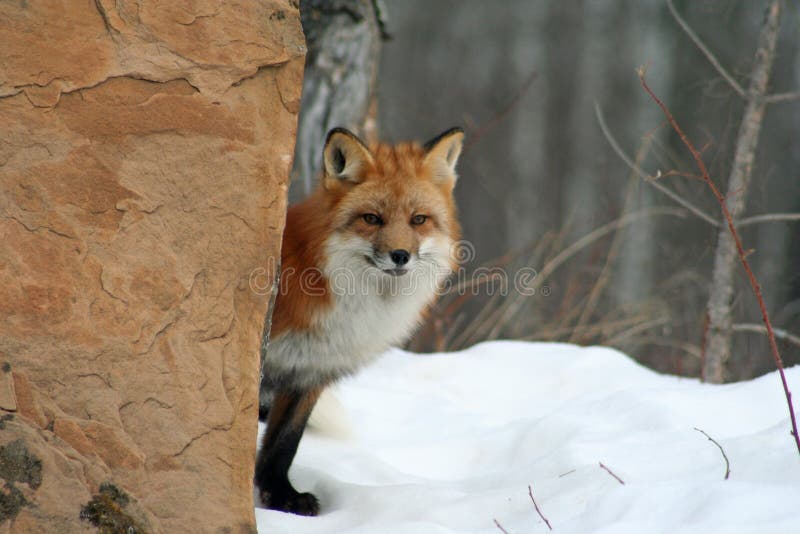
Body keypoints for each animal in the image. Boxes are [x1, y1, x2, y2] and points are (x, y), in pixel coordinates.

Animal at [255, 126, 465, 516]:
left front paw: (280, 496)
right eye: (372, 218)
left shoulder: (309, 373)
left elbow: (283, 446)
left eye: (418, 219)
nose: (400, 255)